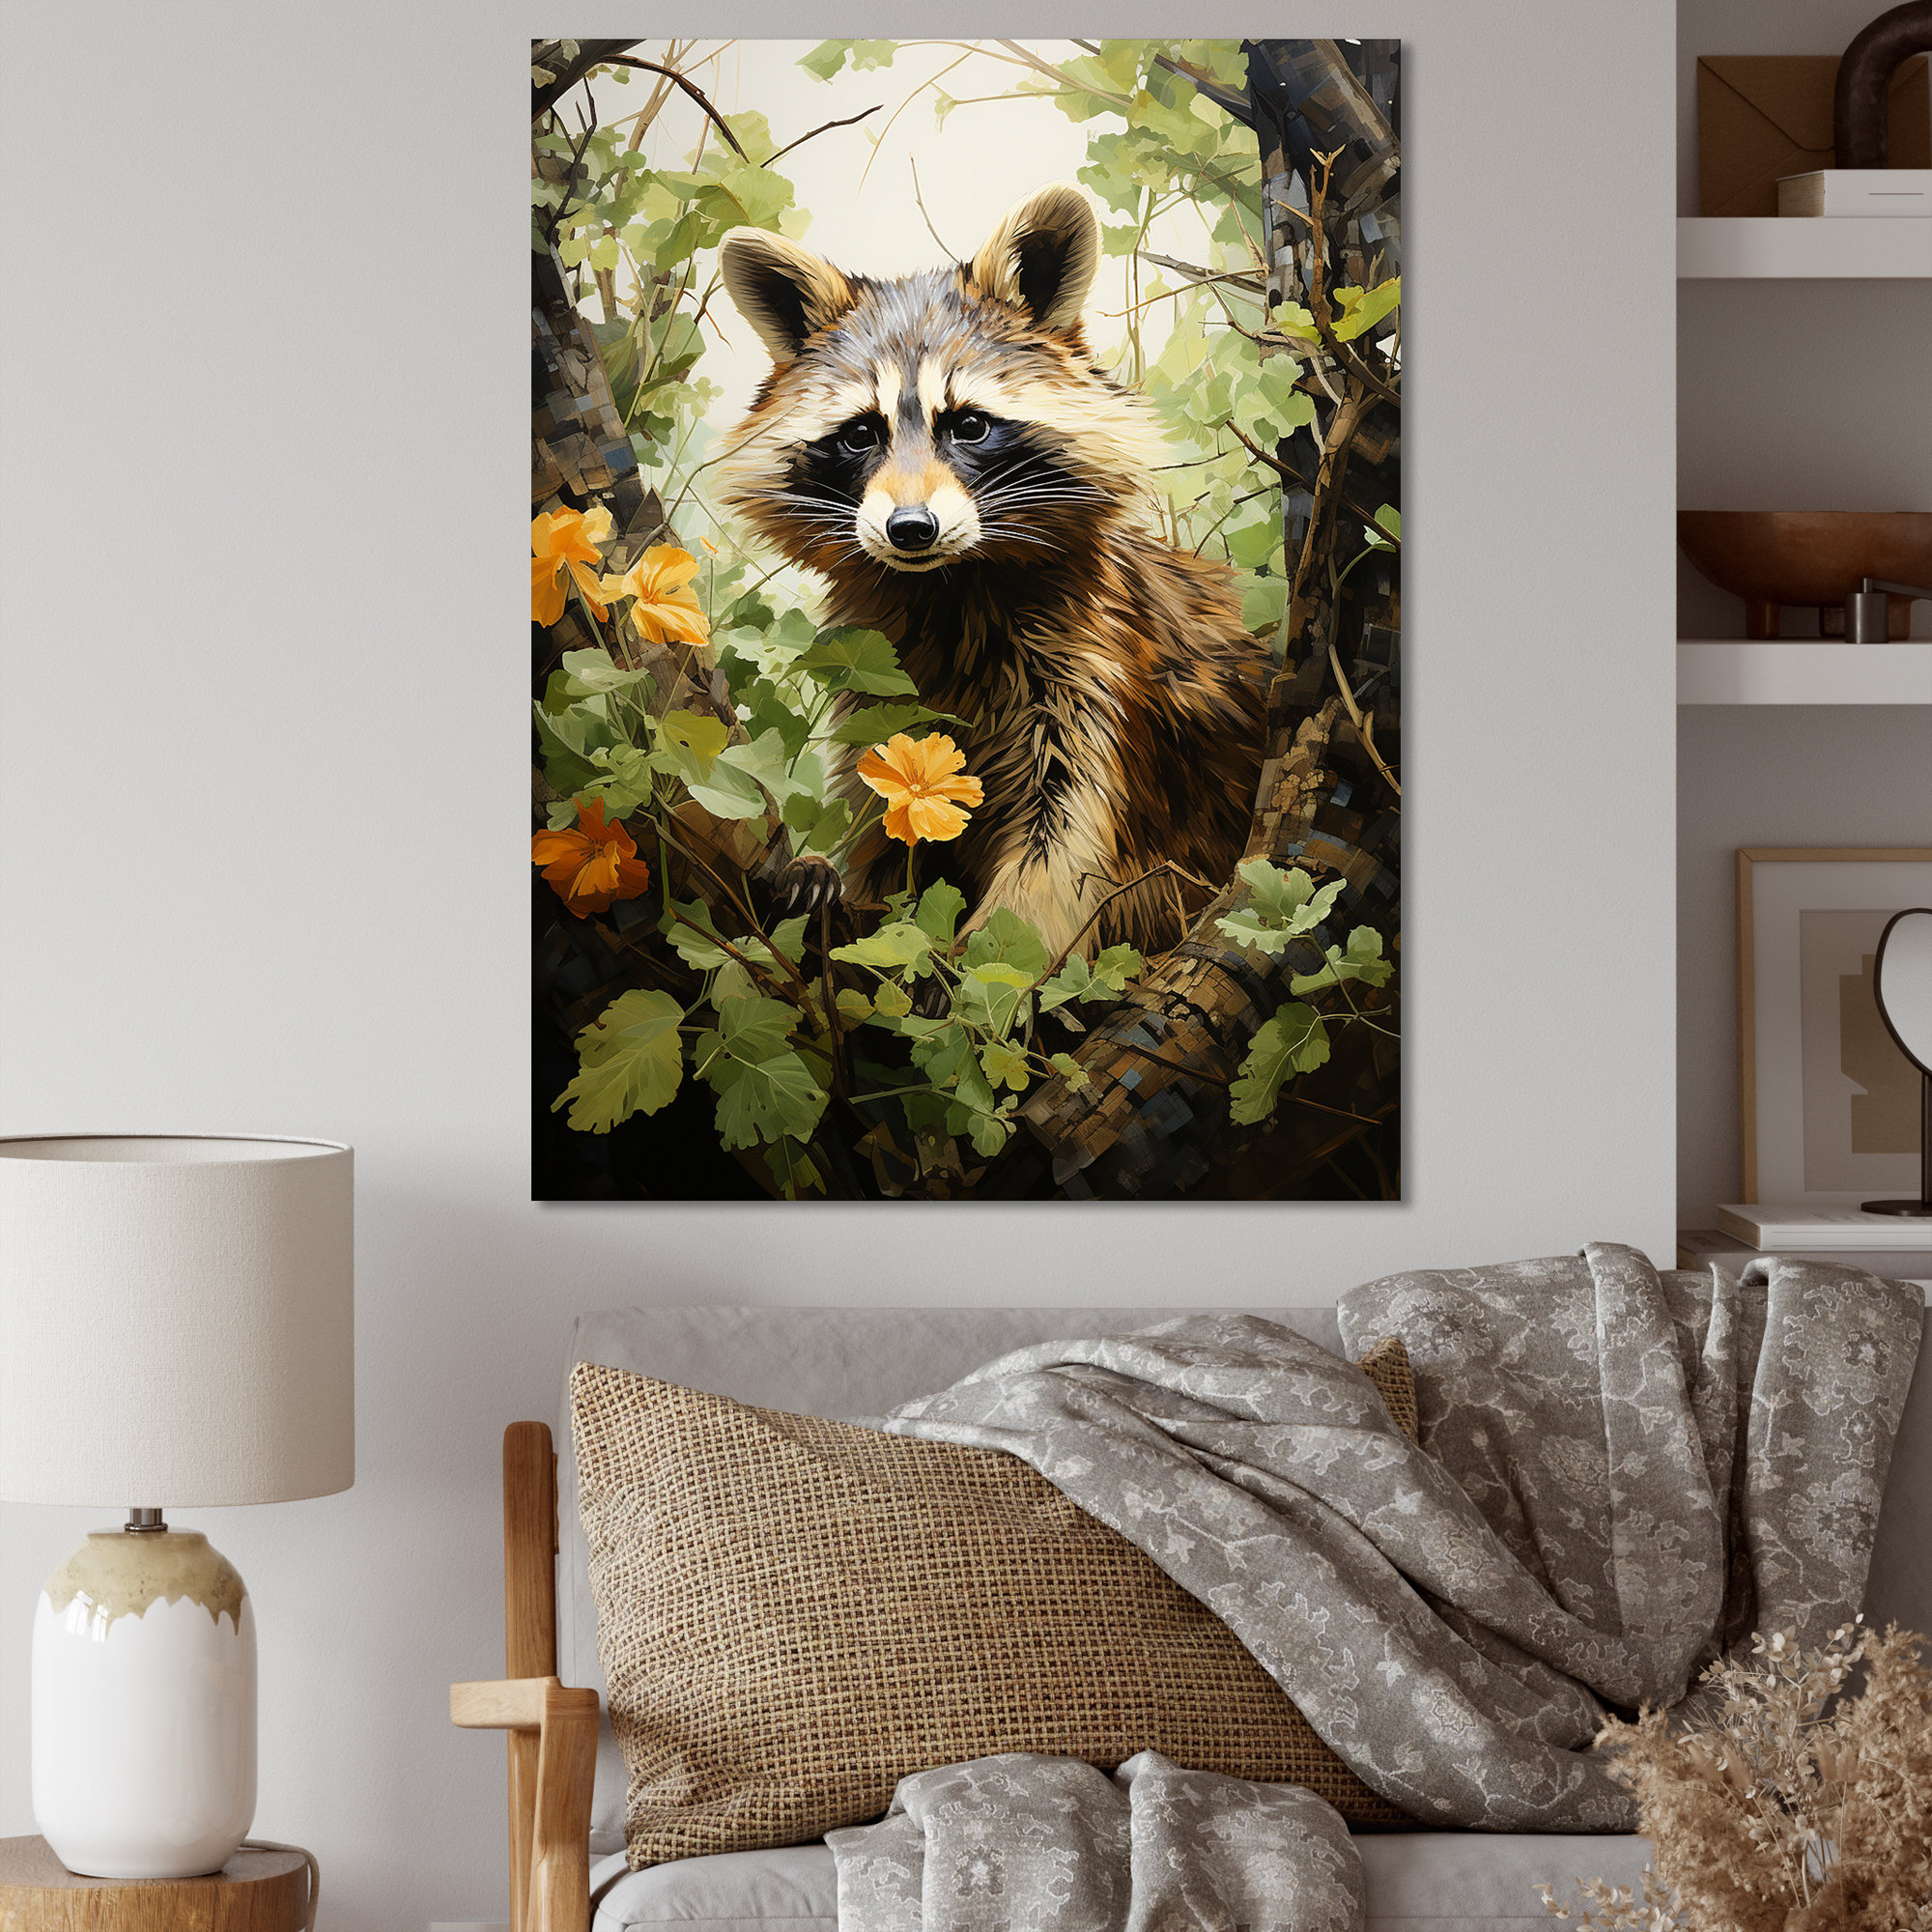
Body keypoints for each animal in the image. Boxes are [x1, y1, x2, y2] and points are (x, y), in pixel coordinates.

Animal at [717, 183, 1268, 959]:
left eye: (969, 425)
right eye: (860, 434)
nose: (910, 528)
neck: (948, 584)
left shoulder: (1096, 670)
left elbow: (1066, 842)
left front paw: (989, 955)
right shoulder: (883, 694)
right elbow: (885, 825)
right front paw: (837, 885)